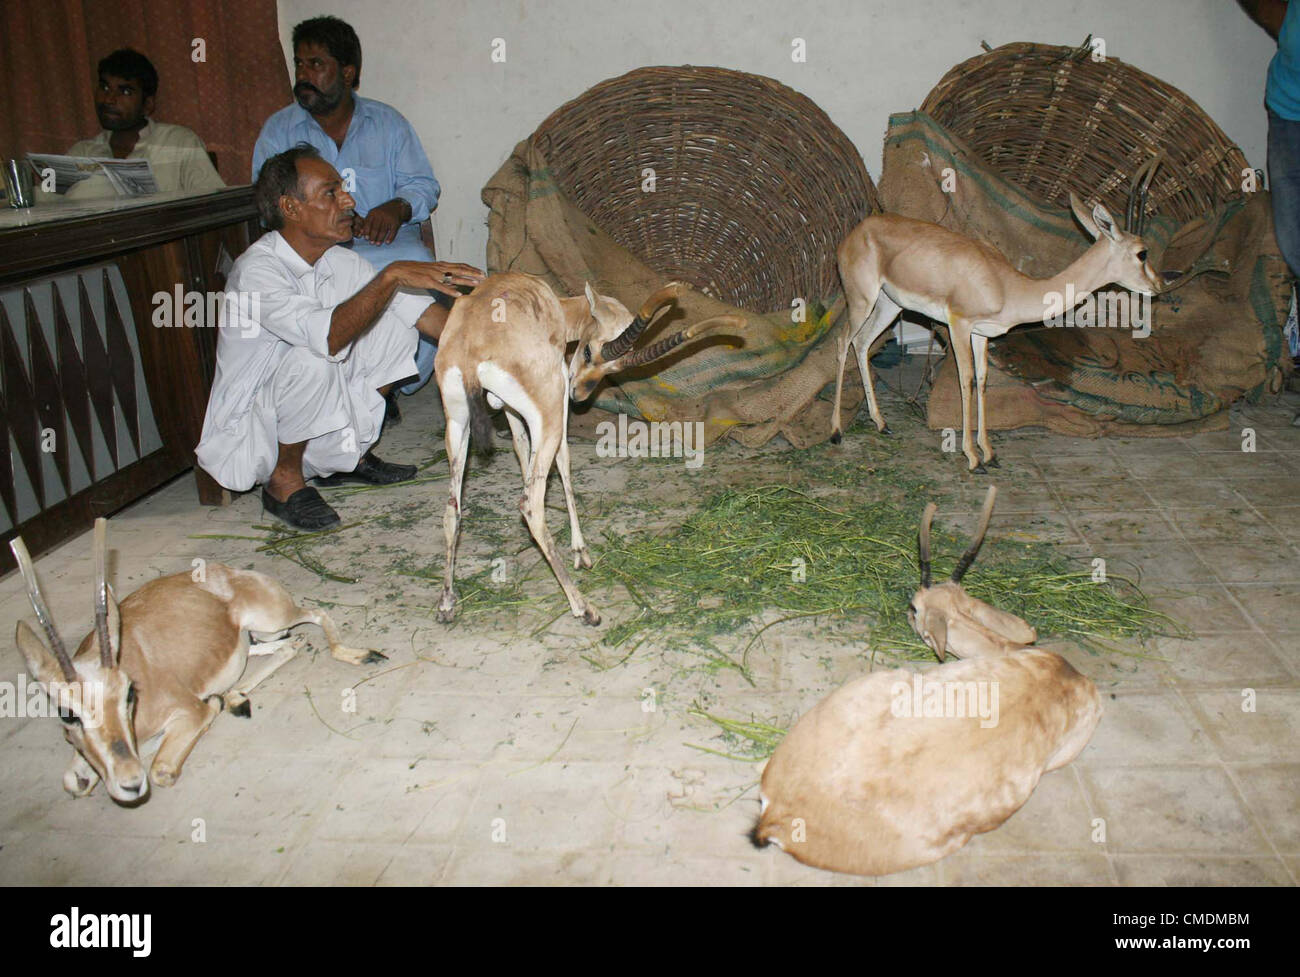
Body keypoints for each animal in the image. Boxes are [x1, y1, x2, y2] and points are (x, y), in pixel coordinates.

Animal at [10, 519, 383, 804]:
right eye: (66, 713)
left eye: (129, 692)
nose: (131, 781)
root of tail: (231, 572)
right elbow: (74, 782)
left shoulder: (188, 714)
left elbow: (162, 770)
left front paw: (212, 705)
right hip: (260, 637)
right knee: (288, 646)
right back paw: (236, 699)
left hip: (272, 621)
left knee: (316, 616)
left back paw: (362, 654)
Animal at [434, 272, 742, 626]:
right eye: (587, 352)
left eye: (613, 370)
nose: (579, 394)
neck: (552, 305)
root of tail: (471, 351)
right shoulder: (556, 411)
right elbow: (565, 463)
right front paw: (581, 551)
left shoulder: (511, 412)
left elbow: (521, 450)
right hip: (546, 413)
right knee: (530, 504)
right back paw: (584, 608)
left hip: (457, 424)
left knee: (452, 508)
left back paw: (446, 603)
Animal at [830, 194, 1164, 471]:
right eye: (1142, 253)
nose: (1159, 285)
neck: (1007, 286)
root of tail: (857, 232)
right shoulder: (959, 324)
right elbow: (965, 378)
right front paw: (973, 458)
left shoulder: (982, 334)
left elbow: (982, 379)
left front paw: (989, 452)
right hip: (861, 299)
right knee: (843, 341)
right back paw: (835, 431)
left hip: (890, 305)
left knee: (862, 343)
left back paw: (881, 423)